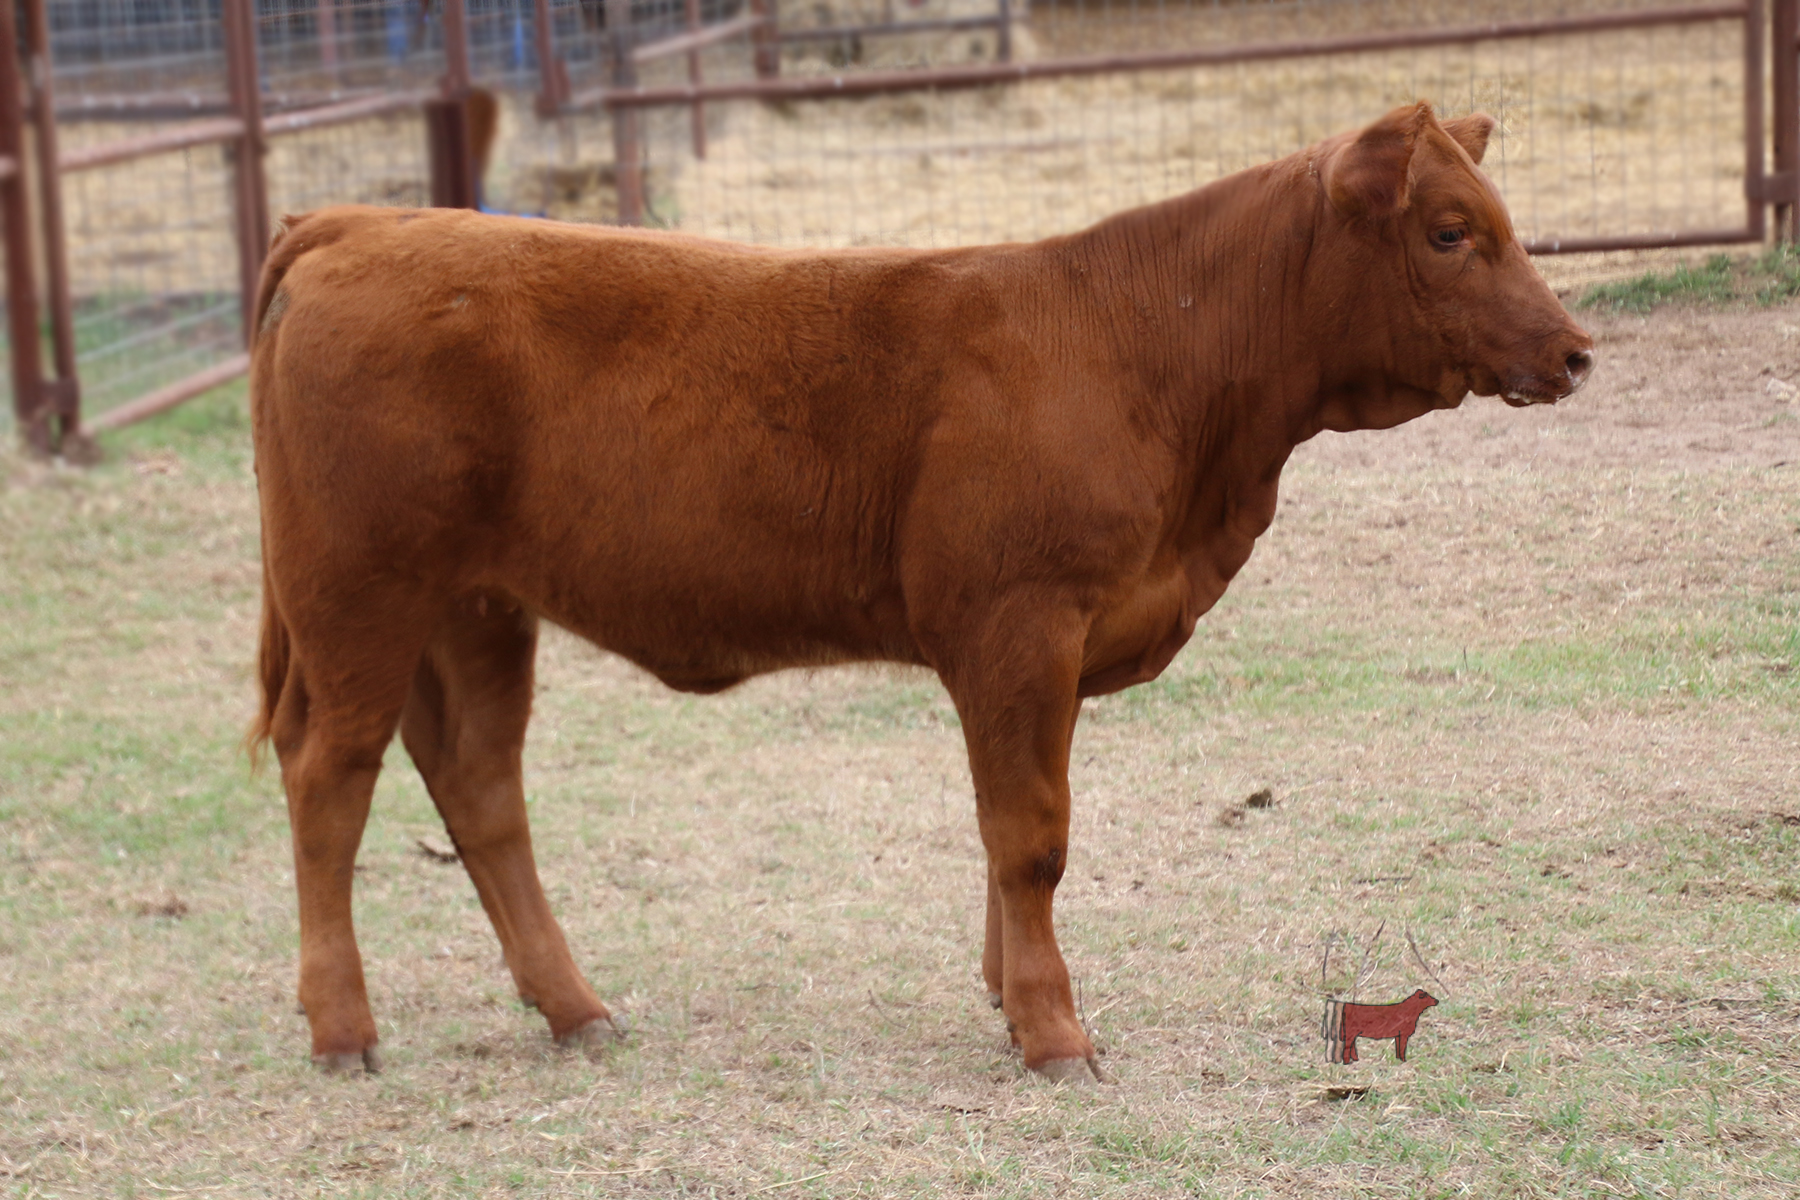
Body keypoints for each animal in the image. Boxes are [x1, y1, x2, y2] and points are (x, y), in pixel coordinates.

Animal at [249, 101, 1593, 1082]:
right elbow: (1032, 836)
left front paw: (1007, 996)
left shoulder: (1051, 651)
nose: (1577, 351)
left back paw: (575, 1009)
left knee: (479, 786)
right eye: (1450, 232)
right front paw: (1053, 1032)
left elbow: (1016, 831)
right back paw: (344, 1030)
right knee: (329, 781)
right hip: (358, 597)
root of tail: (355, 222)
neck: (1144, 348)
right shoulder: (1020, 622)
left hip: (476, 608)